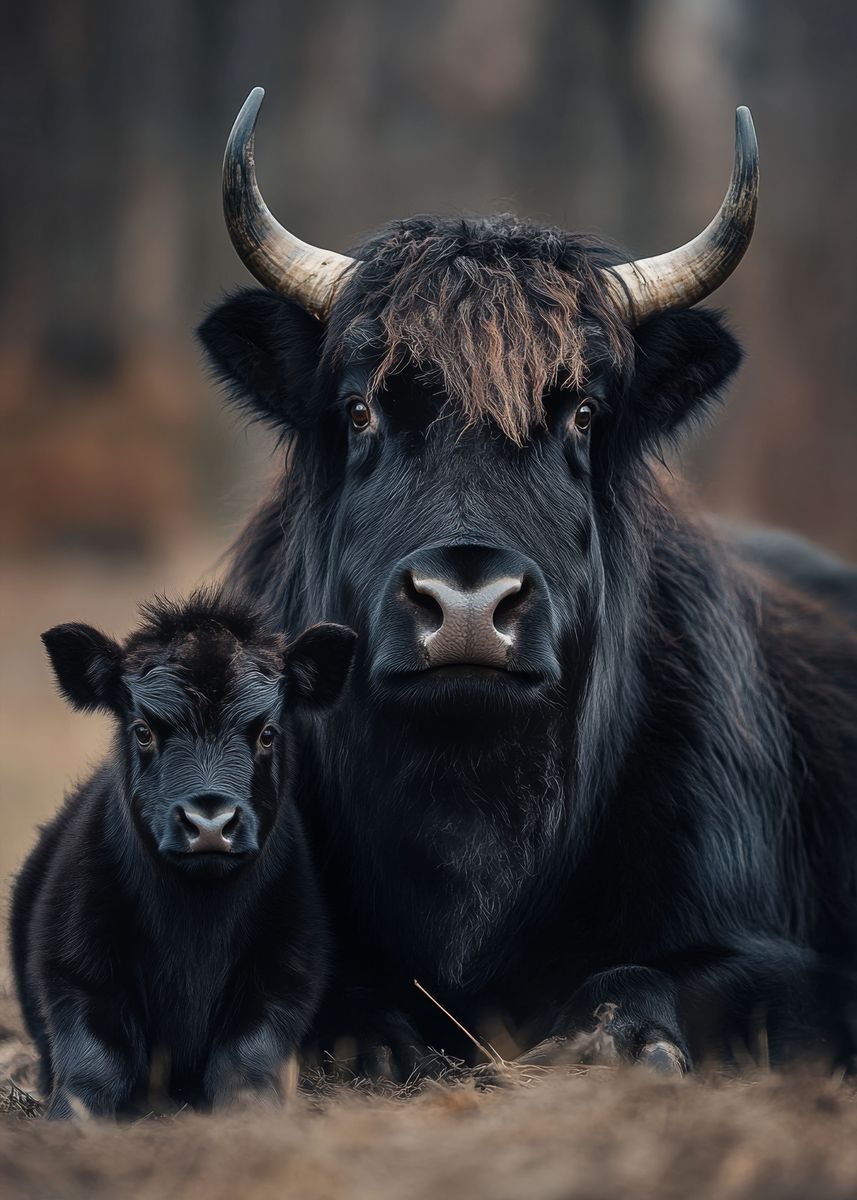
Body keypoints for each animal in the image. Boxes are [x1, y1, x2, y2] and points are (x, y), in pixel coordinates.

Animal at [10, 589, 356, 1116]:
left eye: (267, 732)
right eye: (143, 730)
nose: (209, 824)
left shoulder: (288, 970)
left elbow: (247, 1059)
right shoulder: (75, 966)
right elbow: (94, 1062)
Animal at [198, 88, 857, 1074]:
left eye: (582, 411)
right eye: (359, 409)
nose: (468, 605)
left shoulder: (779, 952)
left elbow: (645, 976)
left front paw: (624, 1043)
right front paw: (367, 1052)